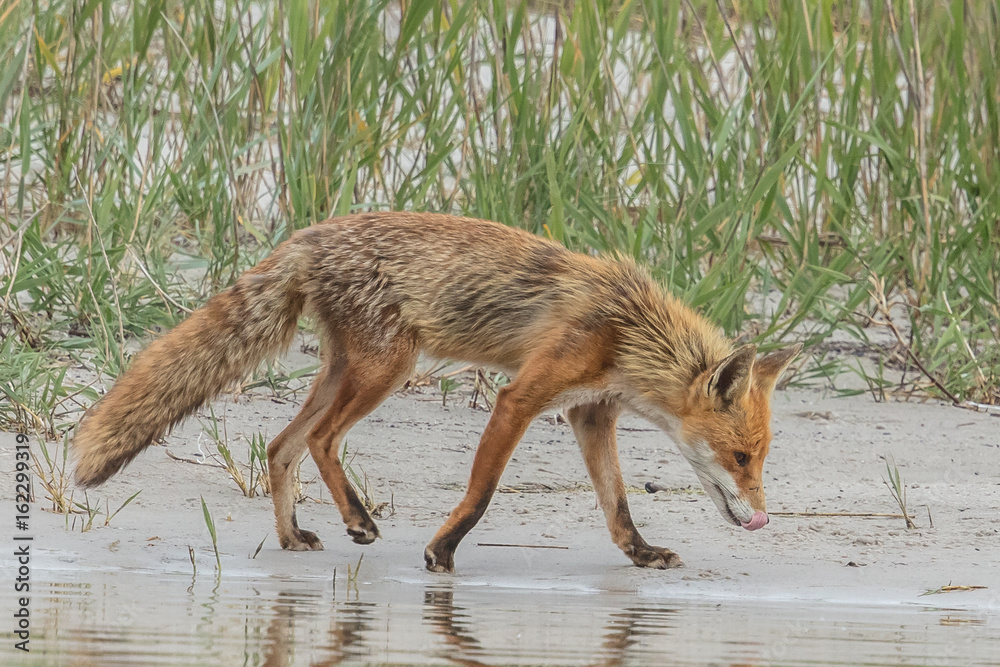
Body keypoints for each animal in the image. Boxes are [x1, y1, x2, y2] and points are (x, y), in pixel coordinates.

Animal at [73, 212, 800, 572]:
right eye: (741, 458)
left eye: (763, 460)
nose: (764, 518)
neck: (630, 329)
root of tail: (306, 235)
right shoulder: (523, 397)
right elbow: (482, 493)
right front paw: (442, 551)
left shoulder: (590, 414)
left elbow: (617, 504)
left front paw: (641, 553)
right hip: (387, 367)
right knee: (319, 439)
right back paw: (357, 519)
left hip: (346, 369)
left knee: (281, 444)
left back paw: (291, 537)